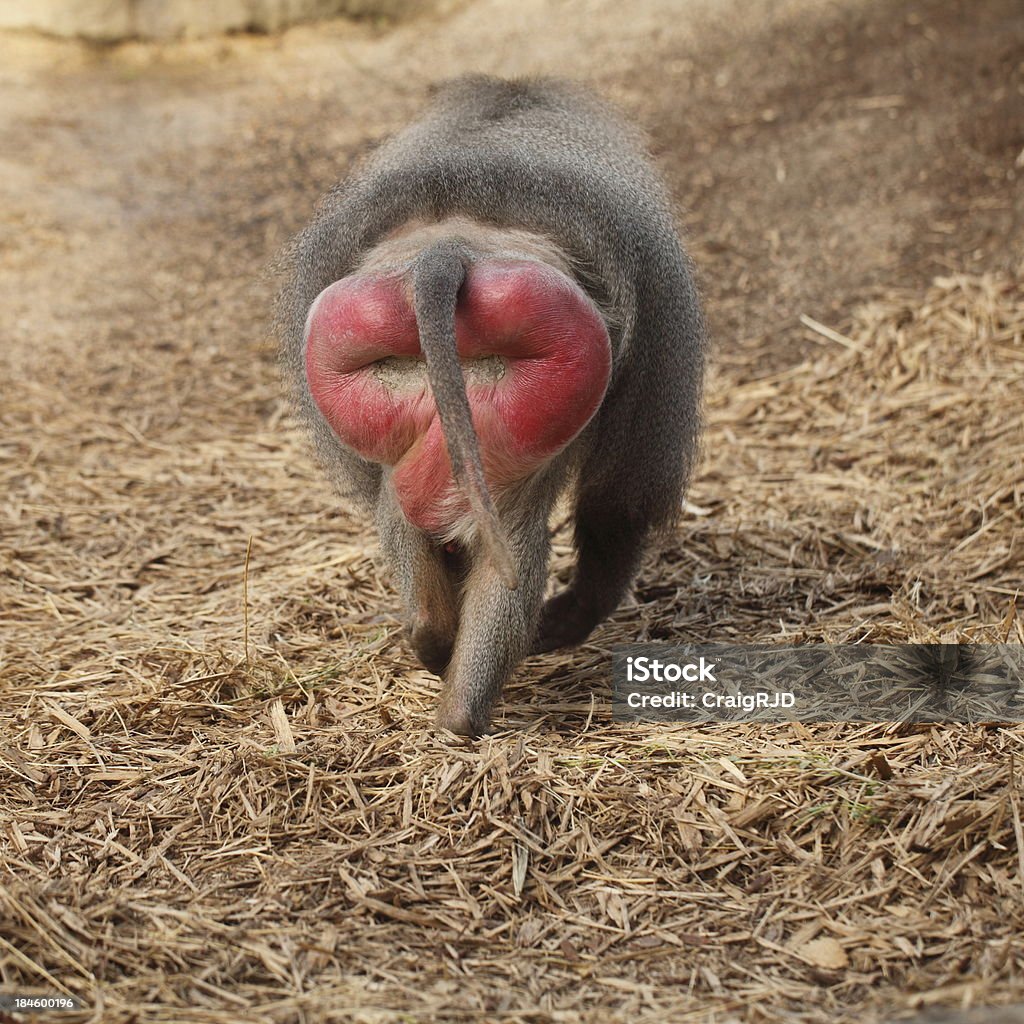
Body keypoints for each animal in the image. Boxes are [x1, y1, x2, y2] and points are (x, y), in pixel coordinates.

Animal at [276, 75, 707, 736]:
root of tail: (447, 250)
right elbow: (620, 504)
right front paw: (570, 618)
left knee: (406, 502)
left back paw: (436, 651)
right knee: (520, 530)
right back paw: (465, 707)